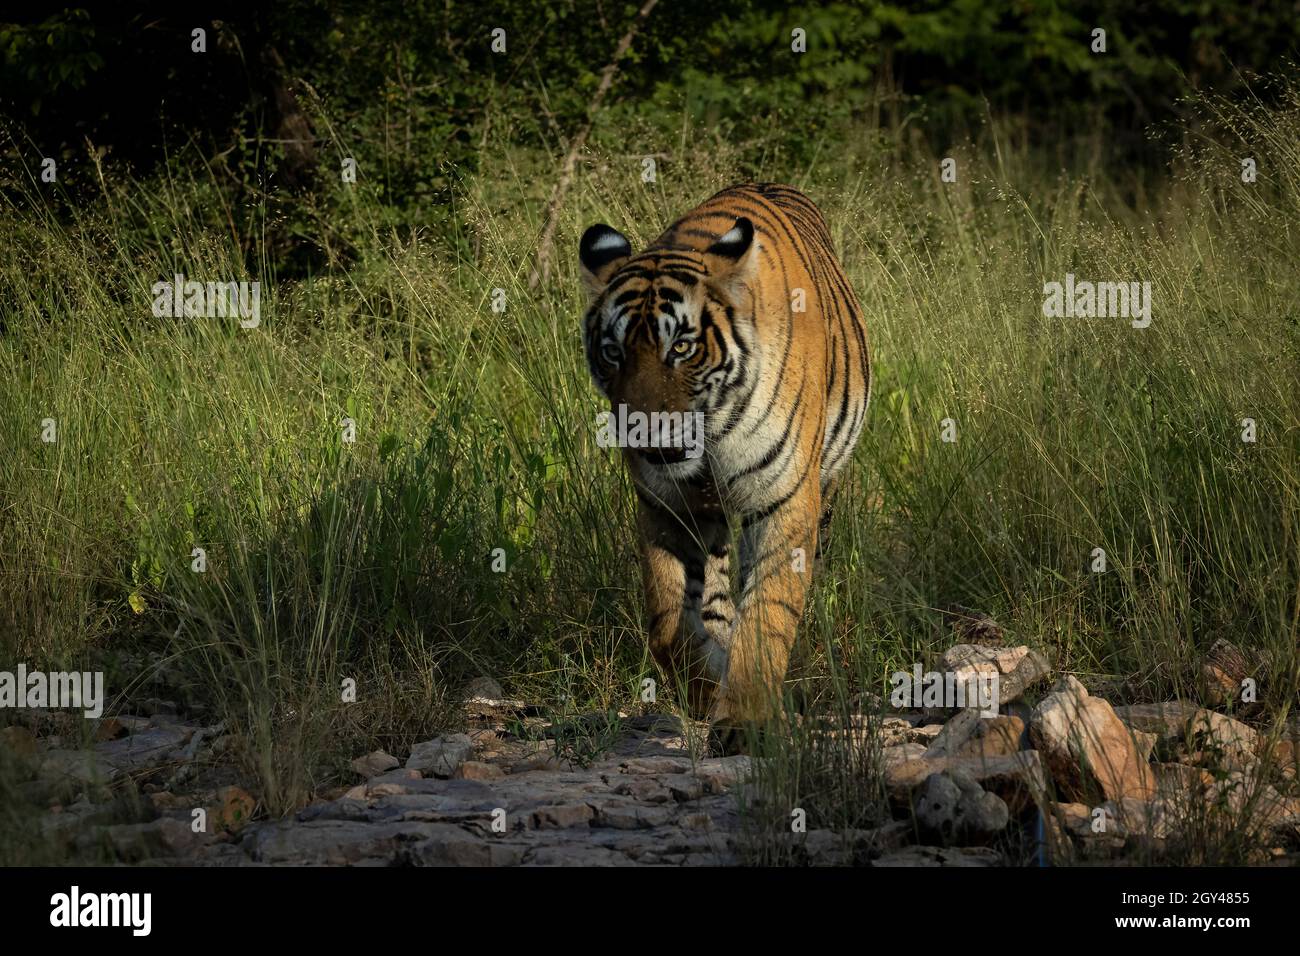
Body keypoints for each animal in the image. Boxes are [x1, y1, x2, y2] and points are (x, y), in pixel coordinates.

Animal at [578, 183, 871, 743]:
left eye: (681, 347)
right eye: (613, 352)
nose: (641, 433)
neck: (712, 431)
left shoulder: (784, 498)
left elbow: (768, 614)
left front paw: (746, 718)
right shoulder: (665, 505)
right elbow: (667, 623)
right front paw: (706, 689)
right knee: (711, 594)